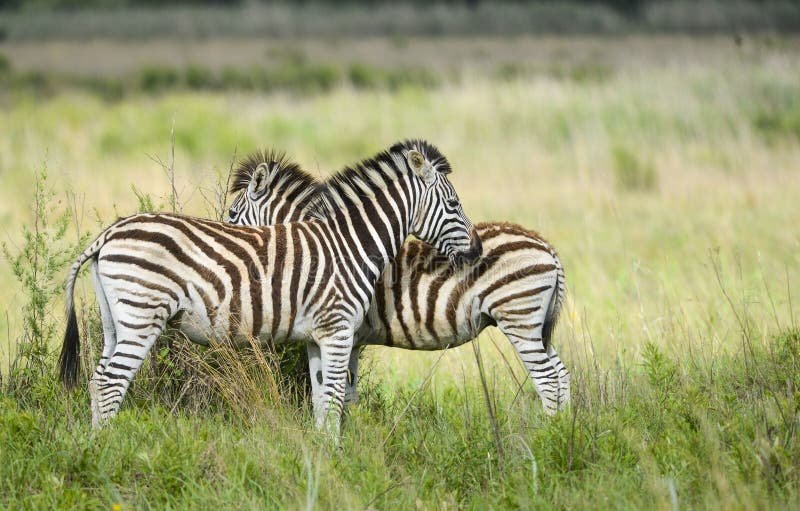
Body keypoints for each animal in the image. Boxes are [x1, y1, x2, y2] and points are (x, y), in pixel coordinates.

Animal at [59, 139, 483, 433]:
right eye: (453, 204)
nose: (477, 251)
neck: (349, 244)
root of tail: (108, 233)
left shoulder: (319, 336)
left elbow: (322, 401)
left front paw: (323, 460)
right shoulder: (339, 330)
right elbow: (334, 400)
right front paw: (336, 460)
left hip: (116, 320)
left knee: (97, 382)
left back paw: (95, 445)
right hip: (142, 315)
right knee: (111, 384)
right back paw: (108, 452)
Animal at [226, 152, 570, 414]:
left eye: (231, 214)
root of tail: (547, 247)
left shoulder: (345, 330)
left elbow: (340, 396)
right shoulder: (351, 336)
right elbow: (346, 396)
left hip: (519, 317)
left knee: (548, 382)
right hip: (535, 324)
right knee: (562, 376)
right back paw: (563, 433)